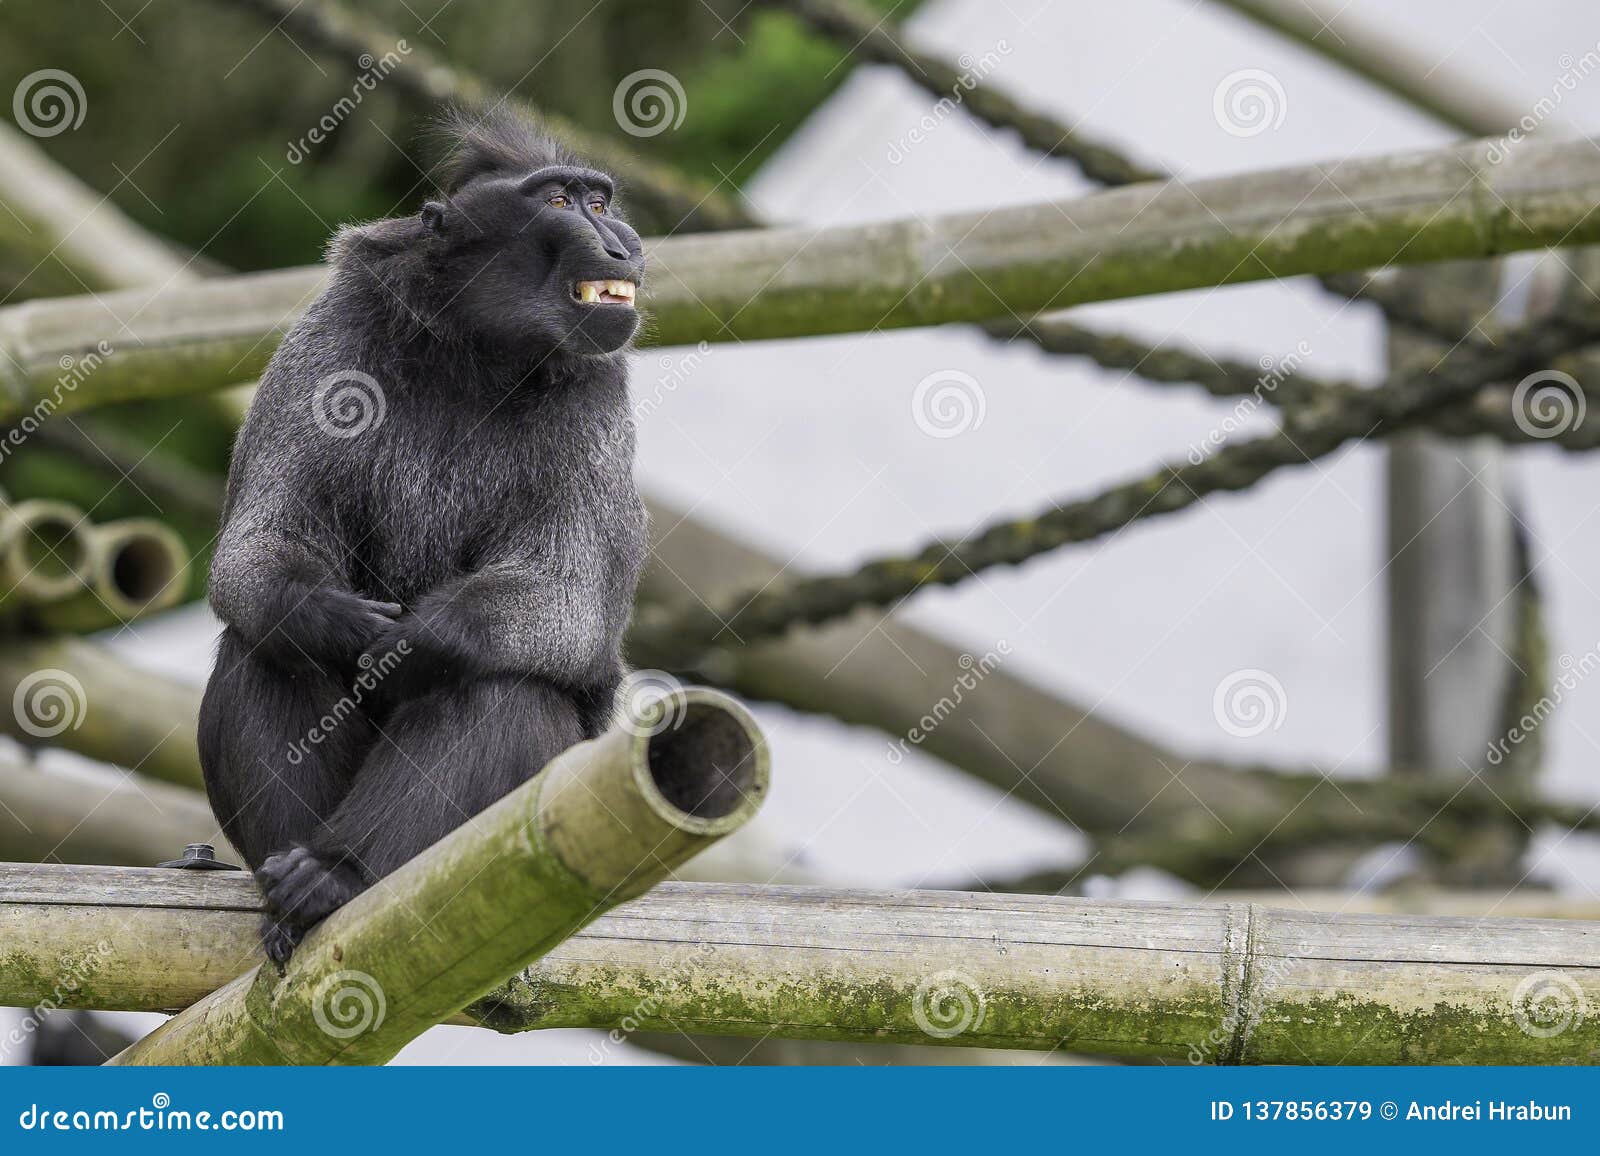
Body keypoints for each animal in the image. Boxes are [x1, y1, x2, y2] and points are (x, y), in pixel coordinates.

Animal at [197, 108, 648, 964]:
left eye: (602, 201)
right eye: (564, 201)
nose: (626, 242)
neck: (476, 357)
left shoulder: (597, 401)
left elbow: (569, 610)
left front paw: (415, 641)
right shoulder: (329, 338)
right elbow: (257, 551)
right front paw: (336, 620)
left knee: (500, 682)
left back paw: (338, 875)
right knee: (266, 643)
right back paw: (296, 889)